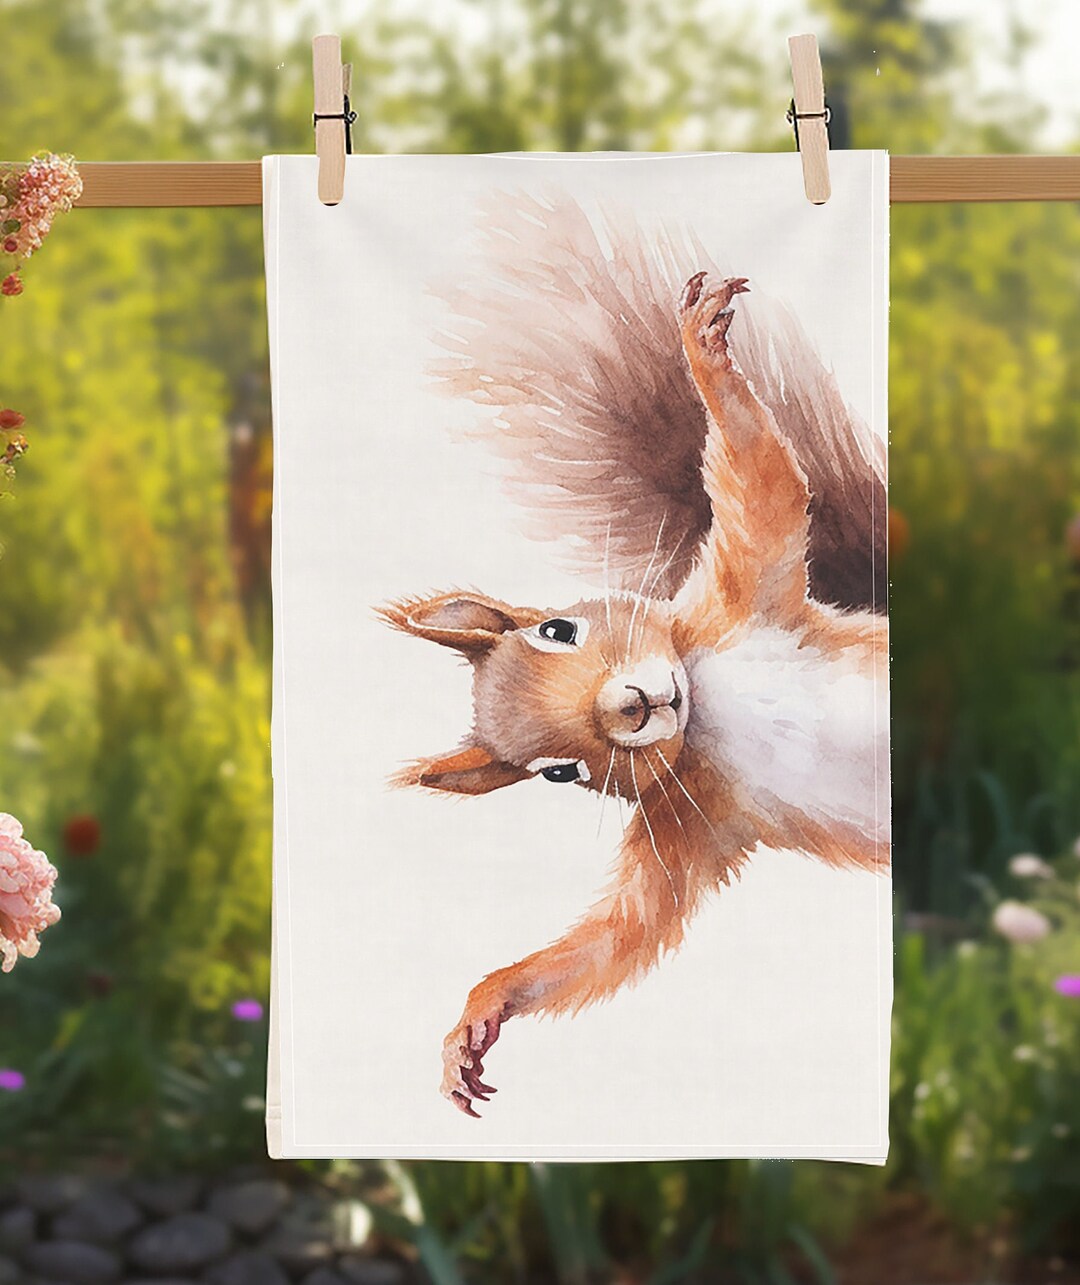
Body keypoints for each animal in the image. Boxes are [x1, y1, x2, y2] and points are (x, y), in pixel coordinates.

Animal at [379, 194, 889, 1117]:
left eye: (559, 629)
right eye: (558, 773)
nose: (631, 707)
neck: (710, 712)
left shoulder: (742, 595)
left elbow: (765, 481)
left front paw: (700, 346)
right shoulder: (688, 822)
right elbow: (625, 934)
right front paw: (481, 1012)